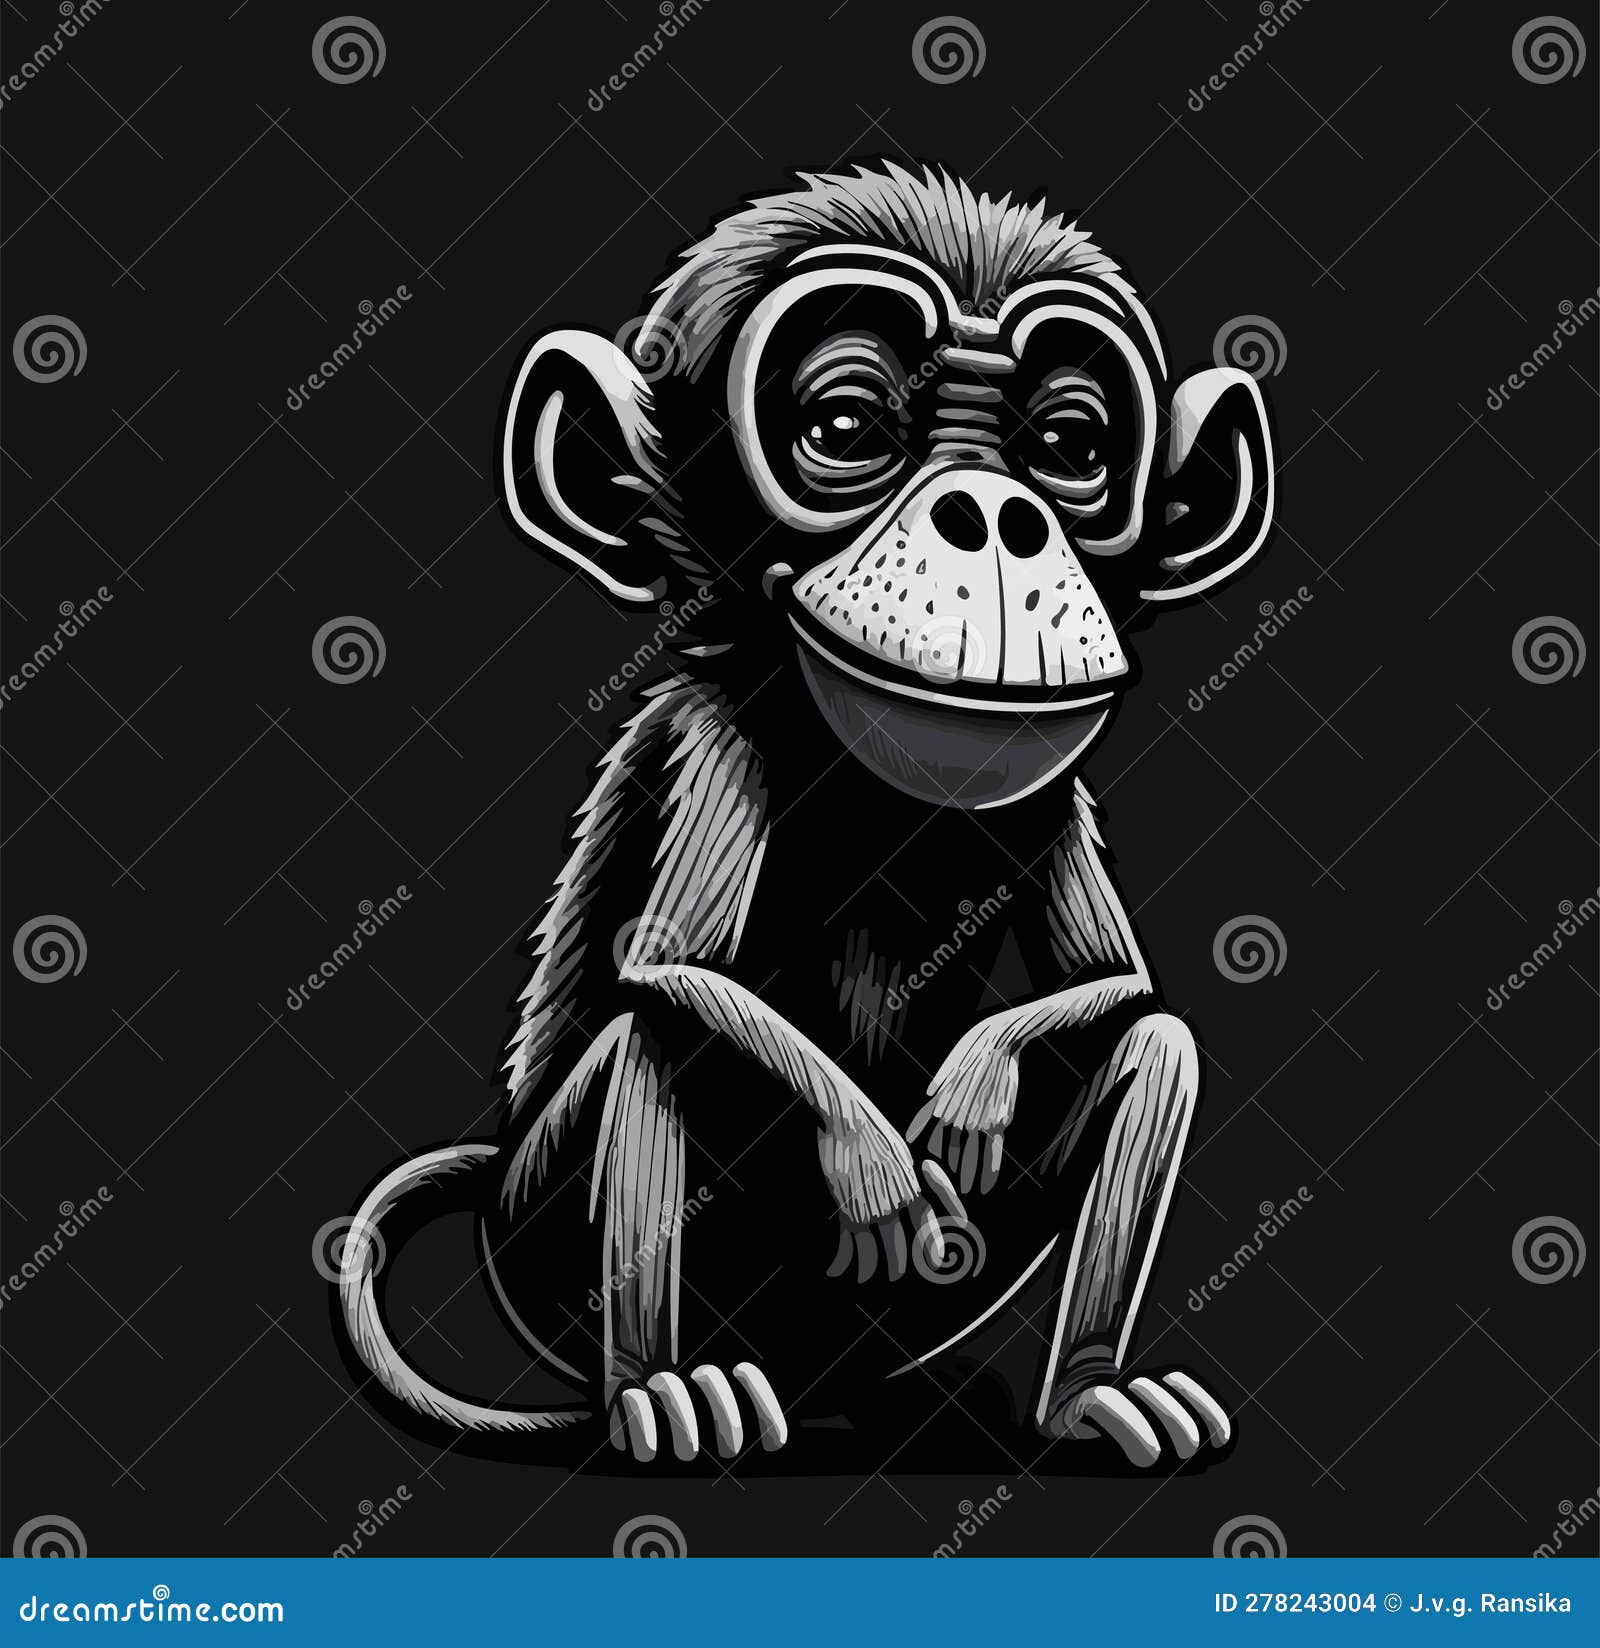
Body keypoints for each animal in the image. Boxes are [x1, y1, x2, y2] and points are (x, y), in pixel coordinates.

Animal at [337, 163, 1275, 1471]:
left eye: (1068, 447)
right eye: (844, 432)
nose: (997, 516)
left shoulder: (1054, 788)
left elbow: (1118, 984)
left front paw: (977, 1075)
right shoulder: (712, 741)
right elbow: (673, 972)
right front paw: (871, 1157)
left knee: (1153, 1047)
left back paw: (1087, 1390)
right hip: (540, 1248)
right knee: (654, 1045)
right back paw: (661, 1387)